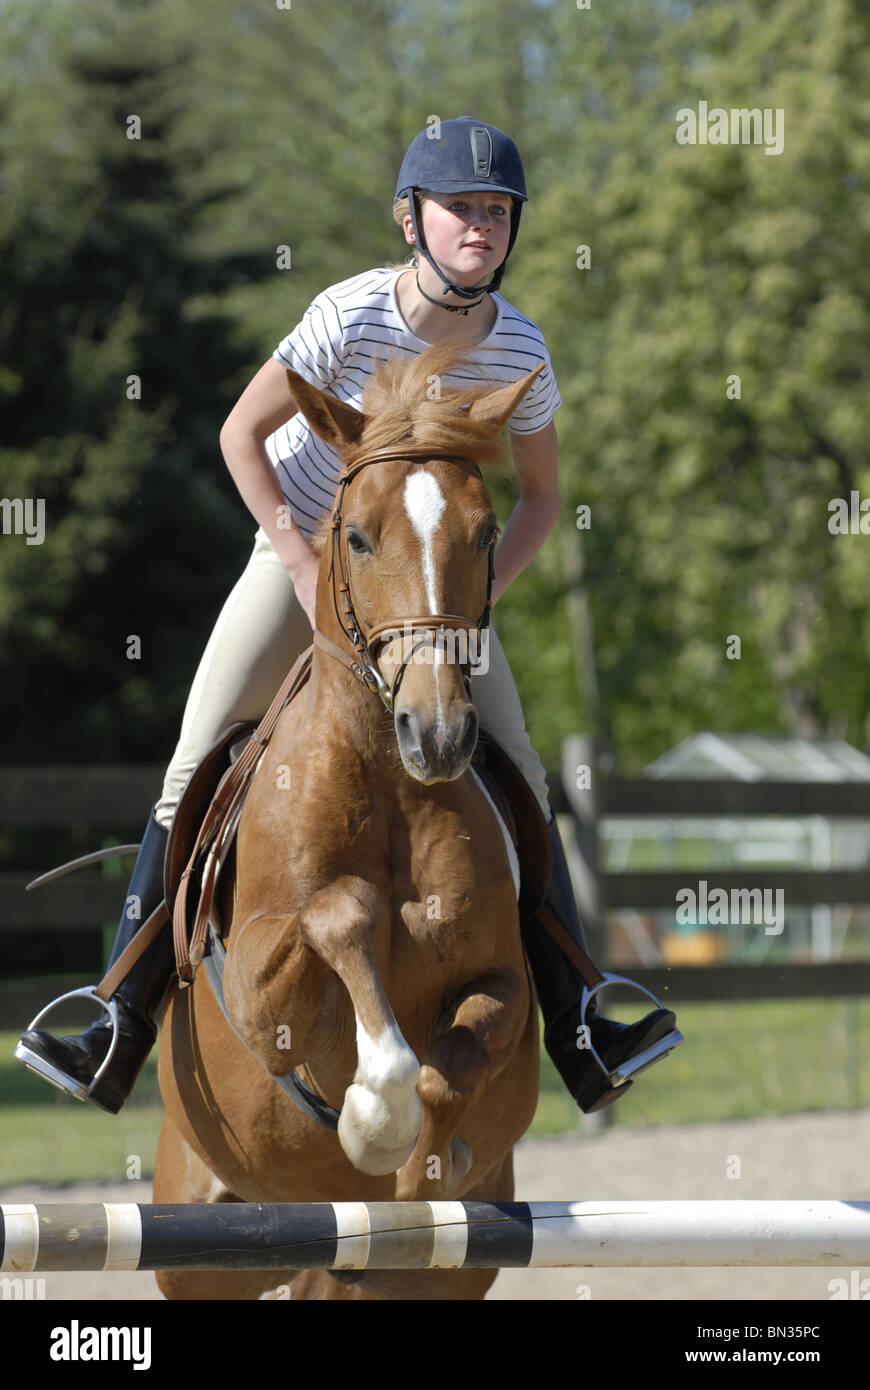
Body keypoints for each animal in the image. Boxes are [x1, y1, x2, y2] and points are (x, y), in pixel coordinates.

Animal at [154, 341, 545, 1301]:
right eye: (358, 536)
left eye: (487, 533)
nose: (437, 734)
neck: (390, 782)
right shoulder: (257, 987)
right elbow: (345, 909)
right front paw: (373, 1106)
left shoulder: (504, 983)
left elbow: (451, 1068)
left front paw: (408, 1159)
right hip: (194, 1242)